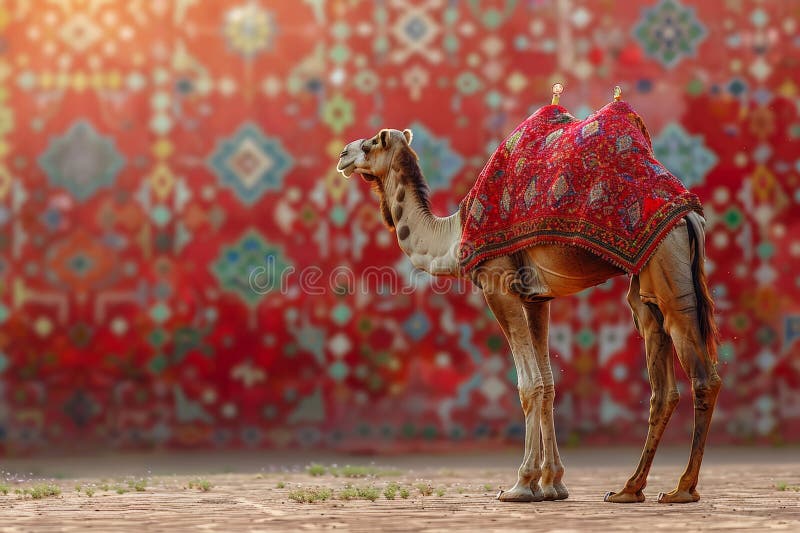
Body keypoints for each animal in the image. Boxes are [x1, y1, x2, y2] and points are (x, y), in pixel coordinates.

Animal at [336, 98, 721, 504]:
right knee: (668, 384)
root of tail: (691, 216)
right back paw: (631, 489)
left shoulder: (497, 283)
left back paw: (681, 489)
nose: (343, 153)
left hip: (667, 268)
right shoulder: (538, 298)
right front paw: (553, 484)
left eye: (372, 142)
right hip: (649, 285)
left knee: (699, 376)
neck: (454, 236)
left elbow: (528, 385)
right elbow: (548, 385)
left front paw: (522, 484)